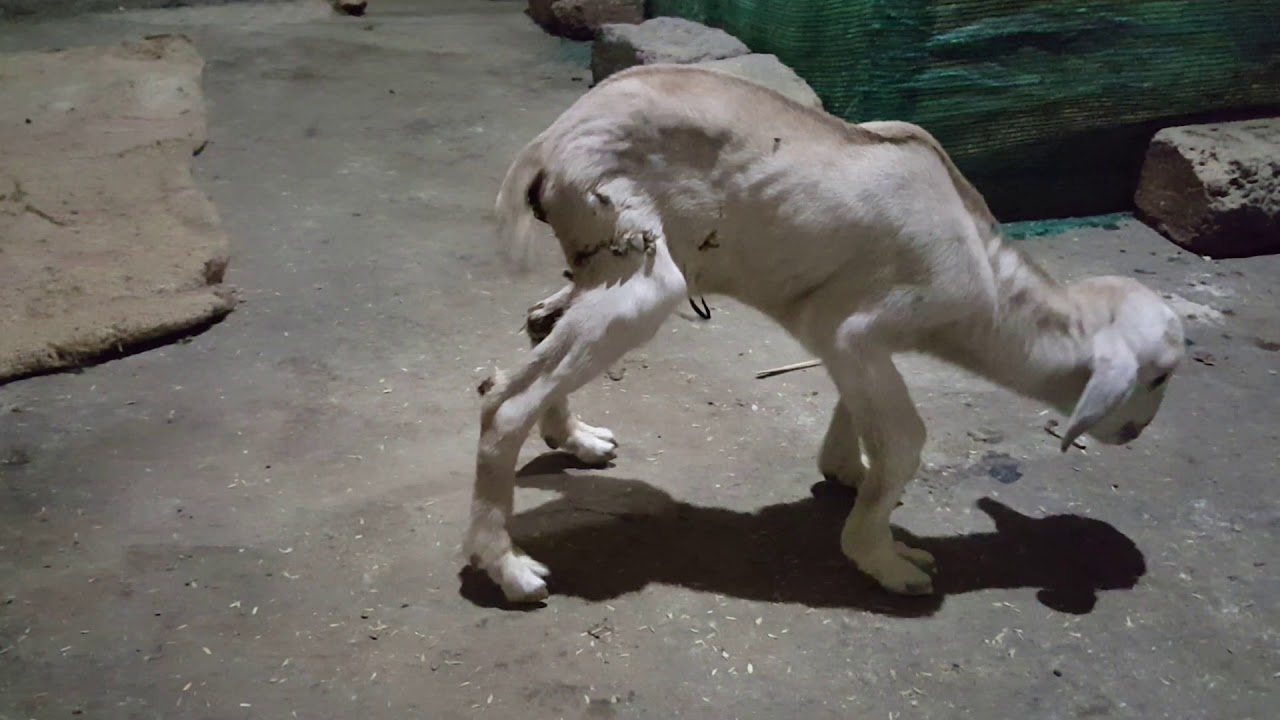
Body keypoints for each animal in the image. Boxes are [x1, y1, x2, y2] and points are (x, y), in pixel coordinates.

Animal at [466, 65, 1185, 604]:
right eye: (1159, 375)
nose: (1139, 432)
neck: (990, 286)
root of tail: (548, 142)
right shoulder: (858, 329)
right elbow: (905, 442)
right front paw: (883, 558)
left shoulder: (846, 341)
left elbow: (861, 417)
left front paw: (845, 471)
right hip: (639, 271)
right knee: (503, 406)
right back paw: (507, 566)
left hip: (607, 269)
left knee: (539, 325)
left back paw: (574, 437)